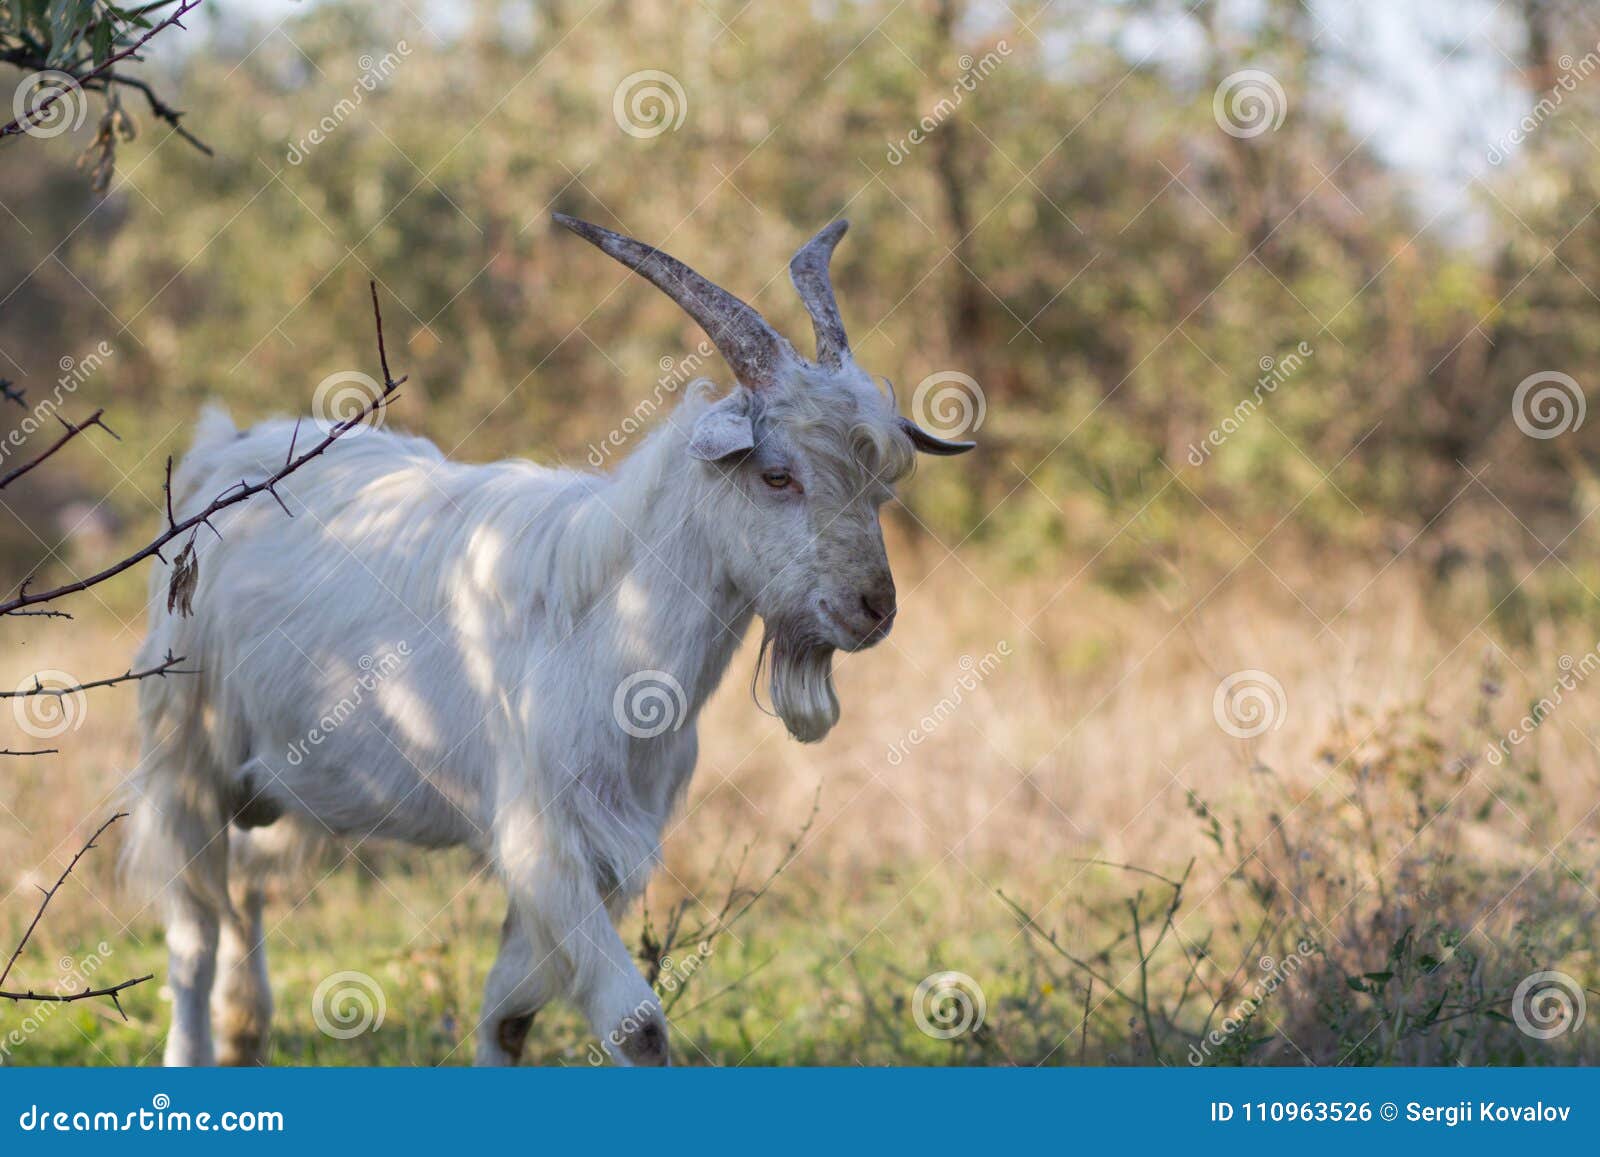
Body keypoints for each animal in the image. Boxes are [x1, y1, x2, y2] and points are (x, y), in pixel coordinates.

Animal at [125, 216, 974, 1067]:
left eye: (880, 485)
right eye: (776, 475)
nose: (874, 607)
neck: (611, 633)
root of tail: (222, 452)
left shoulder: (597, 848)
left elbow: (507, 1015)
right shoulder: (545, 836)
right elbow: (638, 1025)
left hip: (278, 780)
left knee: (244, 889)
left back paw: (244, 1030)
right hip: (186, 749)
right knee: (192, 933)